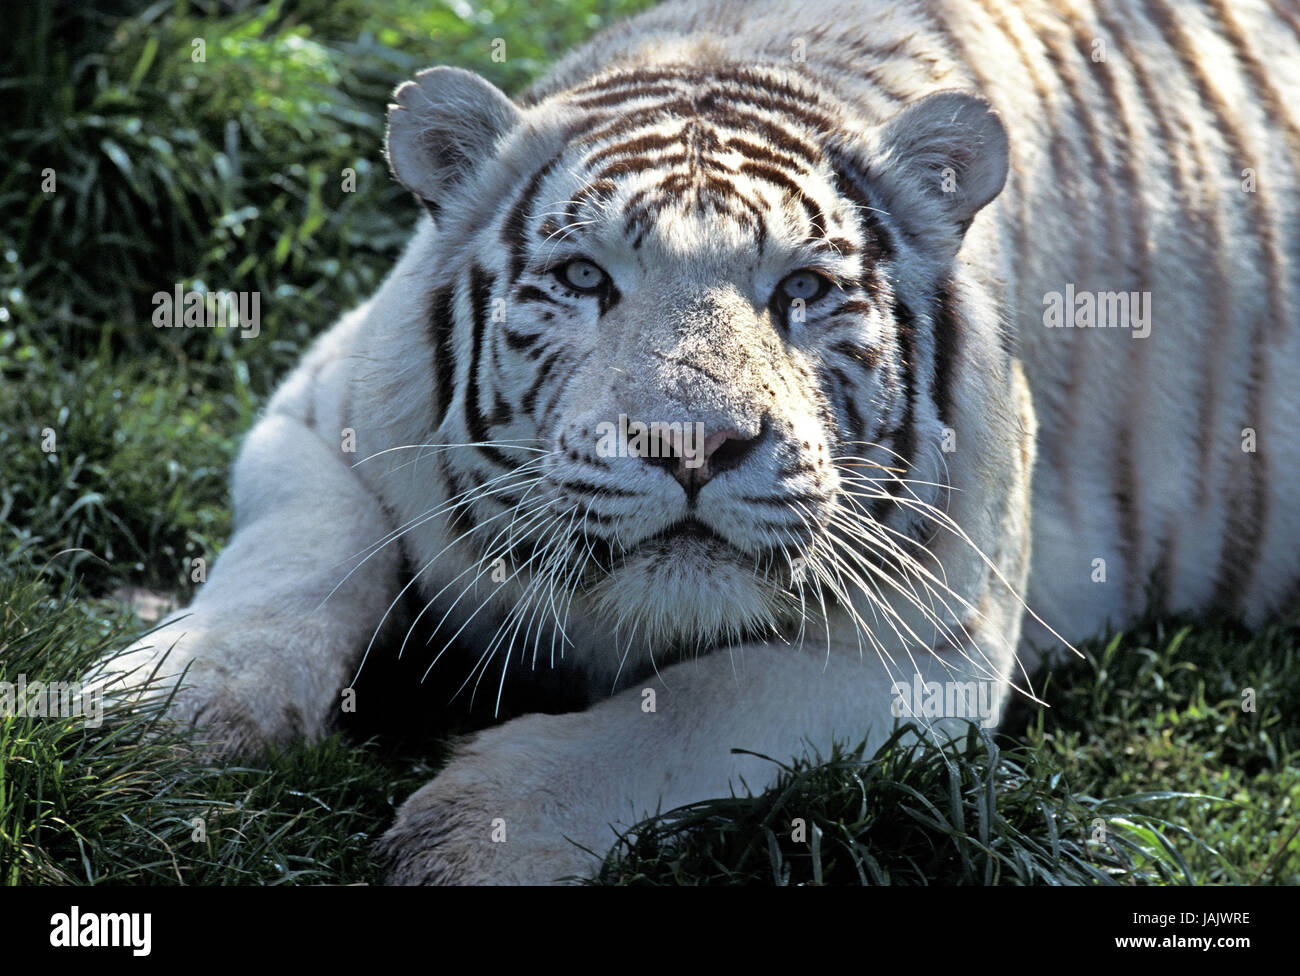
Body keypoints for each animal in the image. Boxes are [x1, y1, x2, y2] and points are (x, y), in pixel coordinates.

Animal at [103, 0, 1300, 884]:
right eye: (584, 277)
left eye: (802, 291)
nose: (691, 446)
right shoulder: (313, 411)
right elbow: (297, 559)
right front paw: (156, 714)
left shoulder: (934, 651)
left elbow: (694, 706)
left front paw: (467, 834)